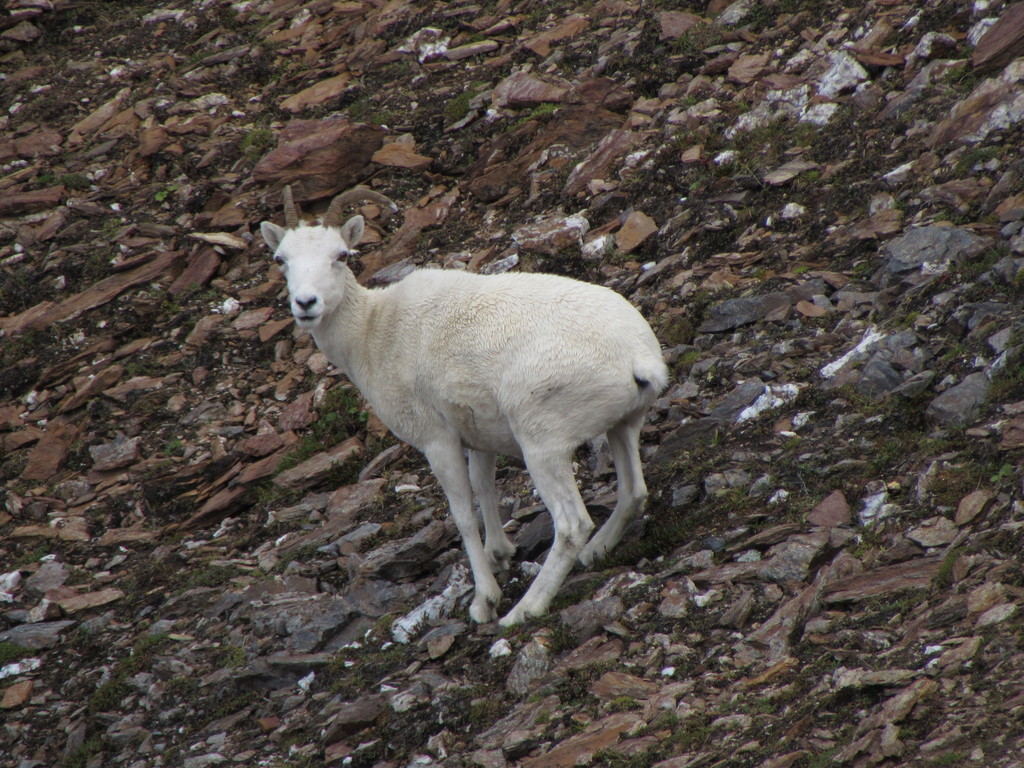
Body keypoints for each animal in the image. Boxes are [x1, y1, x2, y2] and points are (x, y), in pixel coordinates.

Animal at [260, 185, 668, 626]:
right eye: (281, 259)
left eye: (341, 255)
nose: (306, 303)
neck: (372, 333)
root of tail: (639, 361)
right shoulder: (478, 435)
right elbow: (485, 486)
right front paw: (500, 555)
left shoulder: (437, 441)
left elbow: (463, 514)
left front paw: (484, 601)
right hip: (622, 425)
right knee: (633, 491)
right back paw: (595, 553)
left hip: (543, 444)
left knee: (572, 525)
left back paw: (522, 611)